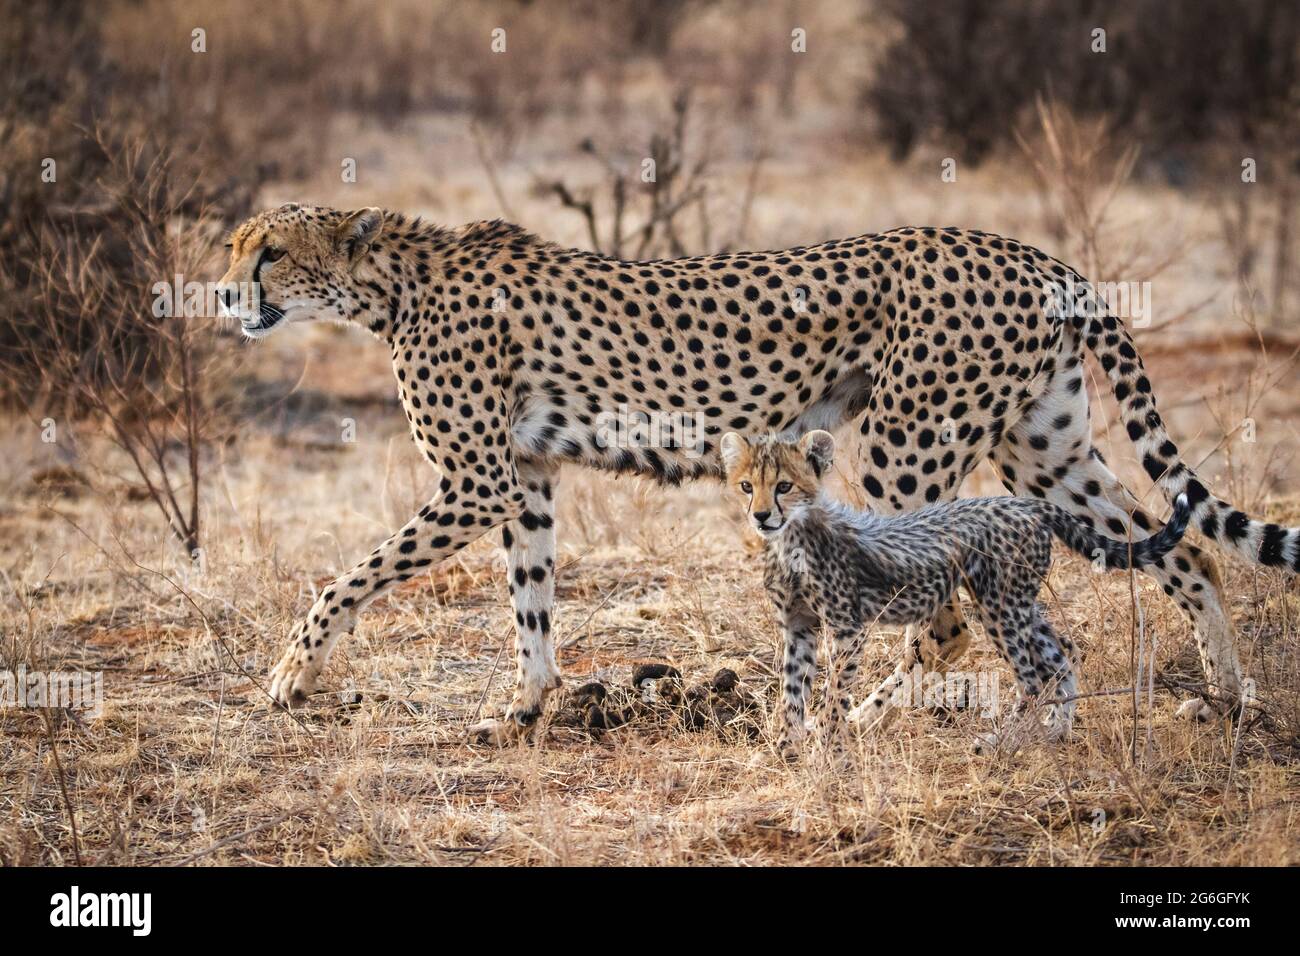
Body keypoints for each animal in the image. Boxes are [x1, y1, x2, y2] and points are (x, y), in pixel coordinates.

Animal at [720, 429, 1192, 755]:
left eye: (784, 486)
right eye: (746, 486)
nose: (760, 516)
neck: (791, 540)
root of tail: (1027, 502)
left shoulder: (846, 626)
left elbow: (834, 693)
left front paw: (829, 751)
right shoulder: (798, 626)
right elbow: (792, 691)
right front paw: (787, 750)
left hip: (999, 607)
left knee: (1032, 678)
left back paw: (1005, 740)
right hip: (1016, 602)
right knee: (1061, 654)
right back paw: (1055, 731)